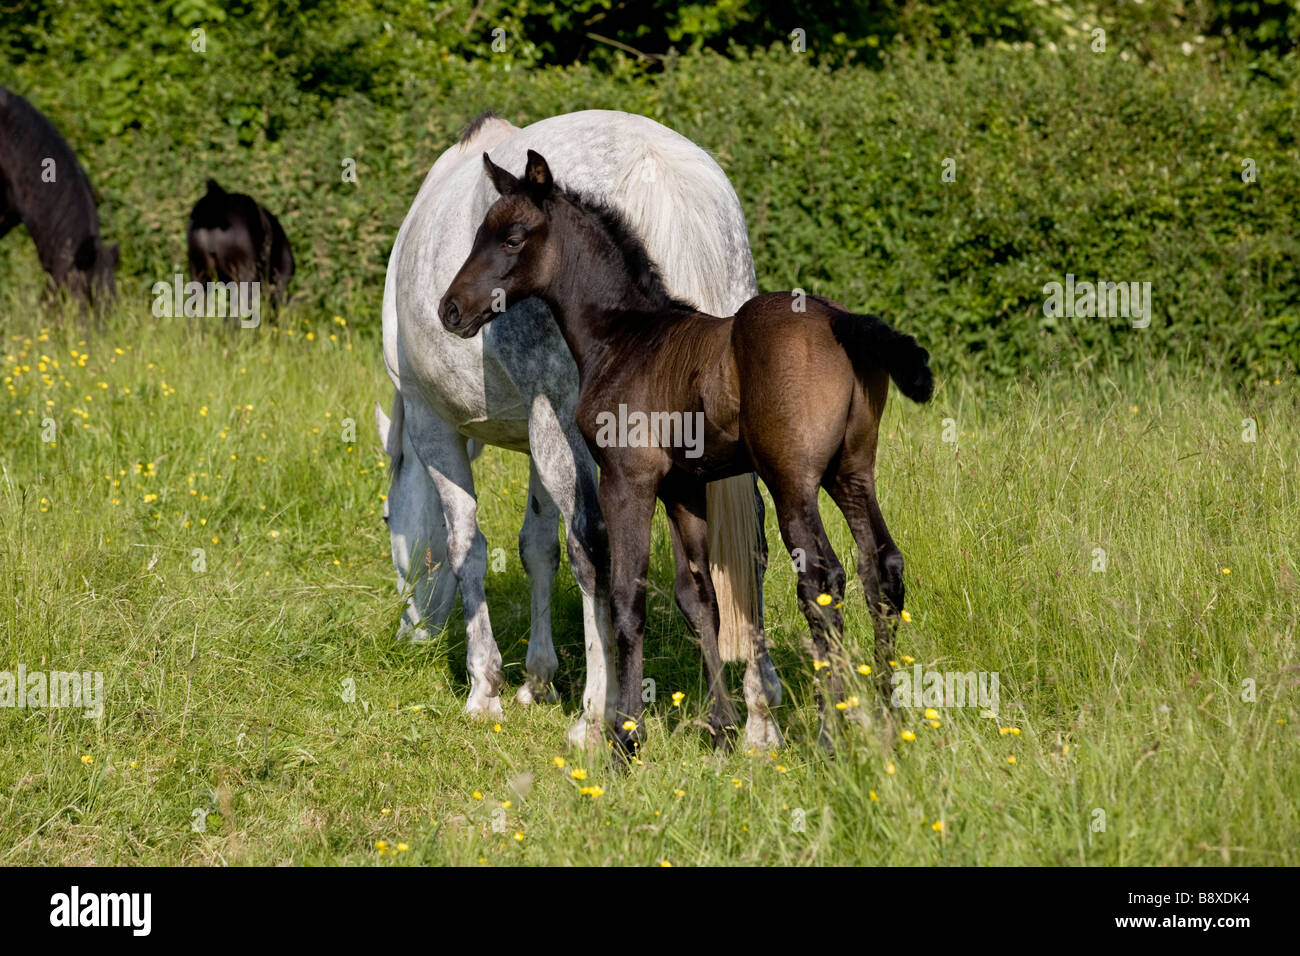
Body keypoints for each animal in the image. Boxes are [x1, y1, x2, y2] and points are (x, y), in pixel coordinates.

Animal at [380, 110, 781, 750]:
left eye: (386, 519)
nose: (409, 632)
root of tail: (655, 168)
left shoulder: (434, 426)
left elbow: (470, 545)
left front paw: (486, 687)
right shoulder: (534, 437)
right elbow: (538, 545)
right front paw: (538, 679)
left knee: (593, 549)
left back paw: (596, 717)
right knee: (750, 551)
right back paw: (760, 717)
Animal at [440, 150, 934, 752]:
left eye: (512, 238)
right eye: (478, 235)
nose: (450, 310)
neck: (623, 336)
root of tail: (844, 322)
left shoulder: (627, 479)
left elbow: (627, 598)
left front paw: (624, 736)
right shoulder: (684, 488)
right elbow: (699, 598)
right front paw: (720, 728)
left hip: (792, 481)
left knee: (822, 580)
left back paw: (829, 733)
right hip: (852, 472)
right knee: (881, 567)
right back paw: (888, 720)